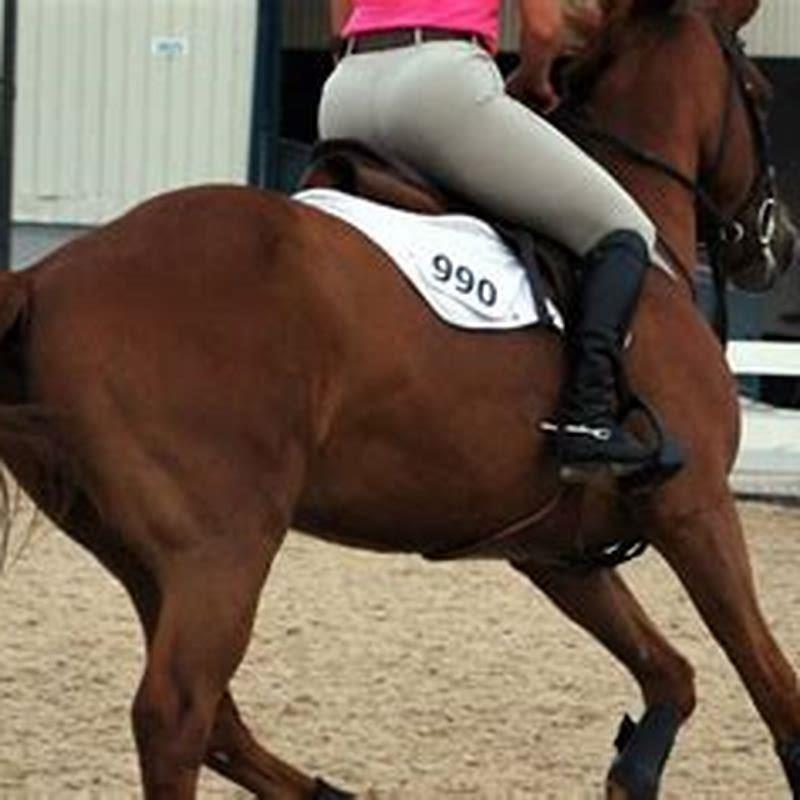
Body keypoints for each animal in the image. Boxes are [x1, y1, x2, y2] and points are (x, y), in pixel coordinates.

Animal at [1, 0, 799, 797]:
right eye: (760, 94)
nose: (780, 241)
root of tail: (43, 277)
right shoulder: (695, 509)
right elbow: (775, 691)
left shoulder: (553, 549)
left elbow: (673, 677)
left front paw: (632, 768)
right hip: (221, 549)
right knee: (177, 717)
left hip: (140, 558)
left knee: (218, 726)